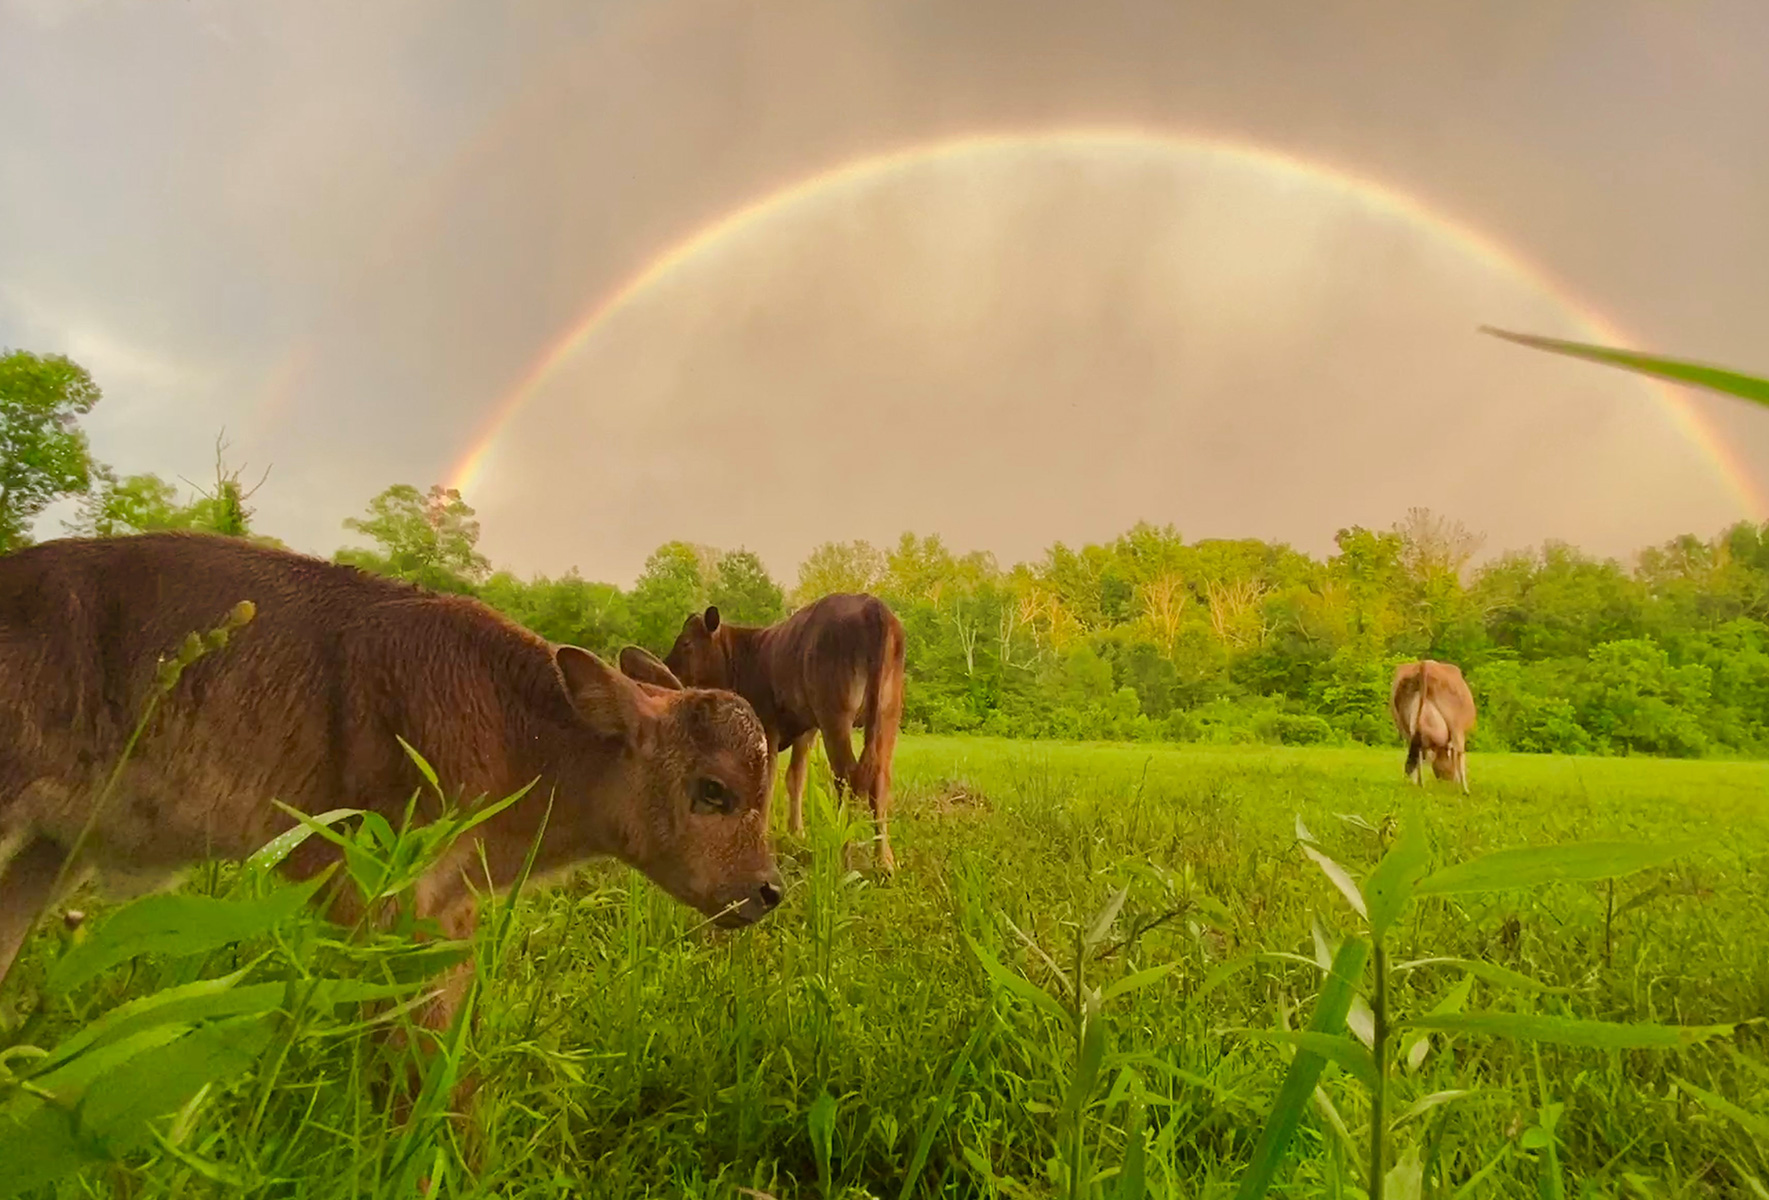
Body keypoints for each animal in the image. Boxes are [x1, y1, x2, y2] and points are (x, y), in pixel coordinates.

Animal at [0, 532, 784, 1035]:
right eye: (713, 790)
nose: (768, 889)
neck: (514, 727)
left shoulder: (448, 911)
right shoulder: (363, 887)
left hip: (50, 851)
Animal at [626, 594, 906, 872]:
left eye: (686, 643)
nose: (667, 666)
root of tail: (872, 606)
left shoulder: (768, 724)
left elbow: (767, 781)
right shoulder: (806, 729)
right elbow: (795, 778)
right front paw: (796, 835)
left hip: (835, 716)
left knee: (847, 777)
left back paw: (845, 857)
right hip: (887, 714)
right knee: (879, 780)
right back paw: (885, 862)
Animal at [1389, 658, 1477, 793]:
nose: (1446, 780)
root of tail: (1424, 665)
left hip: (1406, 728)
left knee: (1416, 755)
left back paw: (1418, 784)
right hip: (1455, 726)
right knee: (1459, 751)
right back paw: (1465, 790)